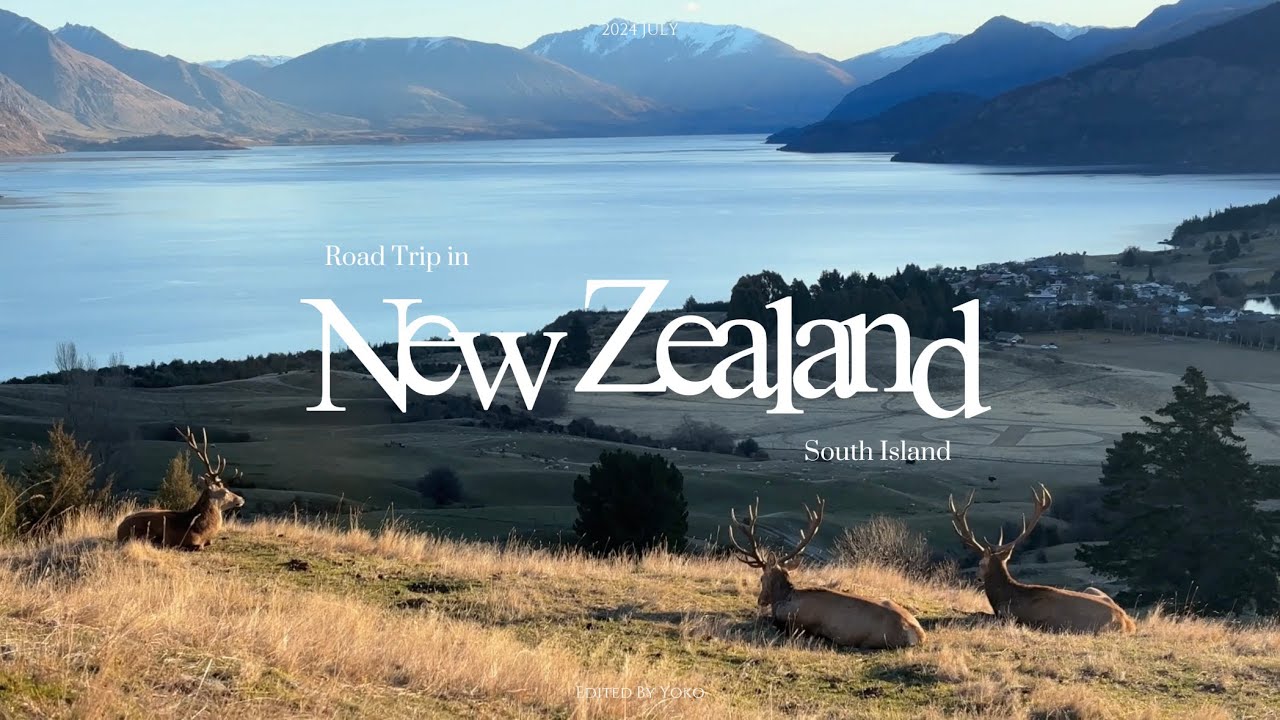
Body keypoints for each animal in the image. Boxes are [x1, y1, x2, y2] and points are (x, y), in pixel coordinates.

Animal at [117, 427, 245, 550]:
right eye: (225, 491)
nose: (241, 499)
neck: (200, 530)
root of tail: (119, 529)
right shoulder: (184, 540)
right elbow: (199, 546)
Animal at [728, 496, 926, 650]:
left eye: (762, 578)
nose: (760, 600)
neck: (784, 599)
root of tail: (919, 634)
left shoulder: (795, 625)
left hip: (871, 640)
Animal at [948, 484, 1135, 634]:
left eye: (981, 563)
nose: (977, 578)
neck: (1006, 598)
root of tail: (1128, 623)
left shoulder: (1012, 617)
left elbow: (979, 613)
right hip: (1093, 589)